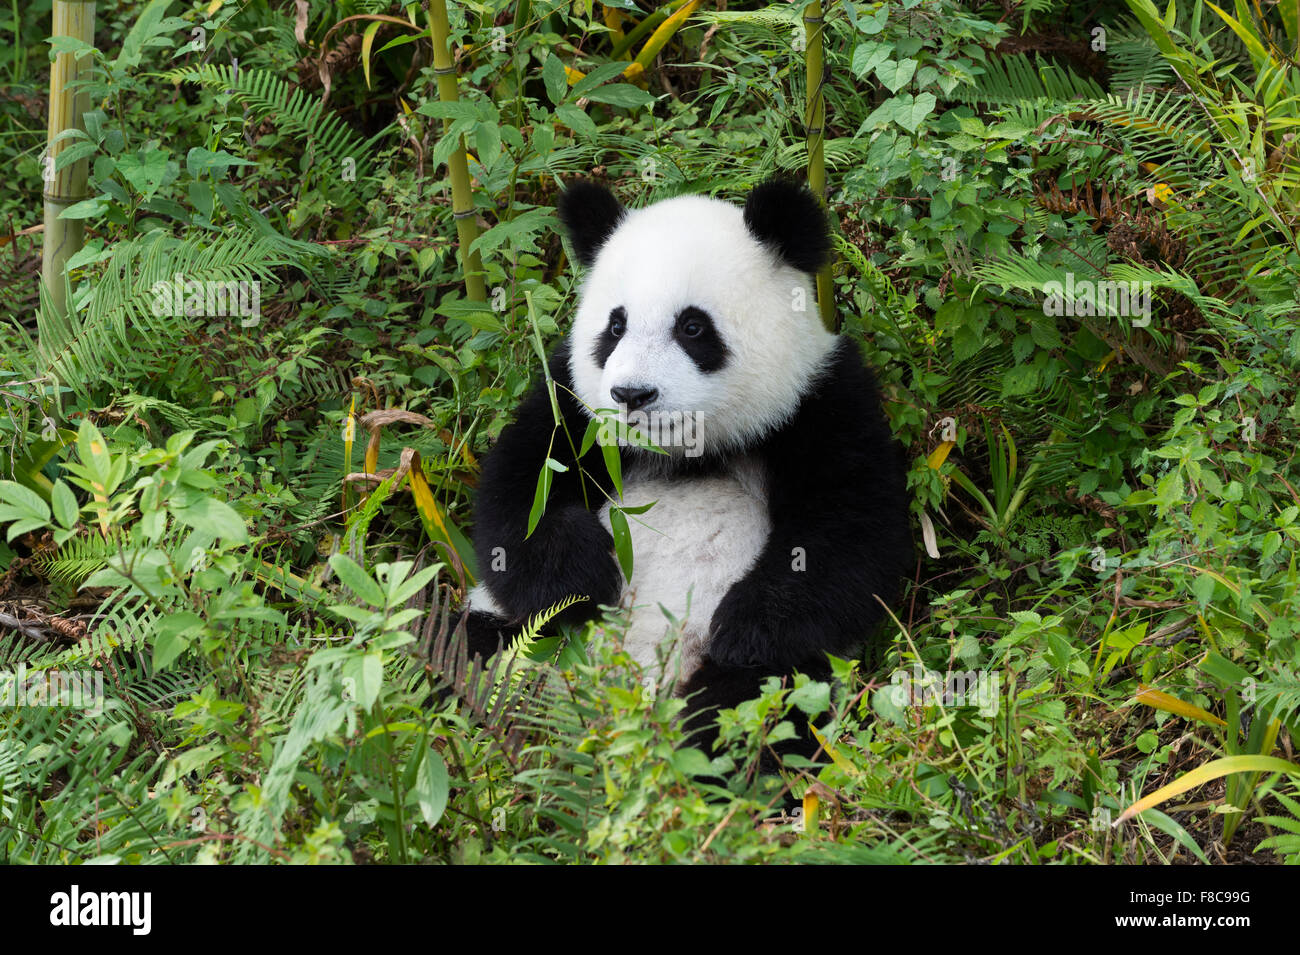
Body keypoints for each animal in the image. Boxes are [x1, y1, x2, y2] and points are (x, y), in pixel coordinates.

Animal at [459, 175, 912, 757]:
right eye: (615, 327)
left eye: (693, 328)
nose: (633, 395)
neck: (688, 455)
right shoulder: (571, 407)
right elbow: (516, 500)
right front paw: (583, 577)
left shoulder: (820, 401)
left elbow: (852, 539)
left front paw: (746, 629)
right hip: (510, 632)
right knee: (470, 643)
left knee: (753, 707)